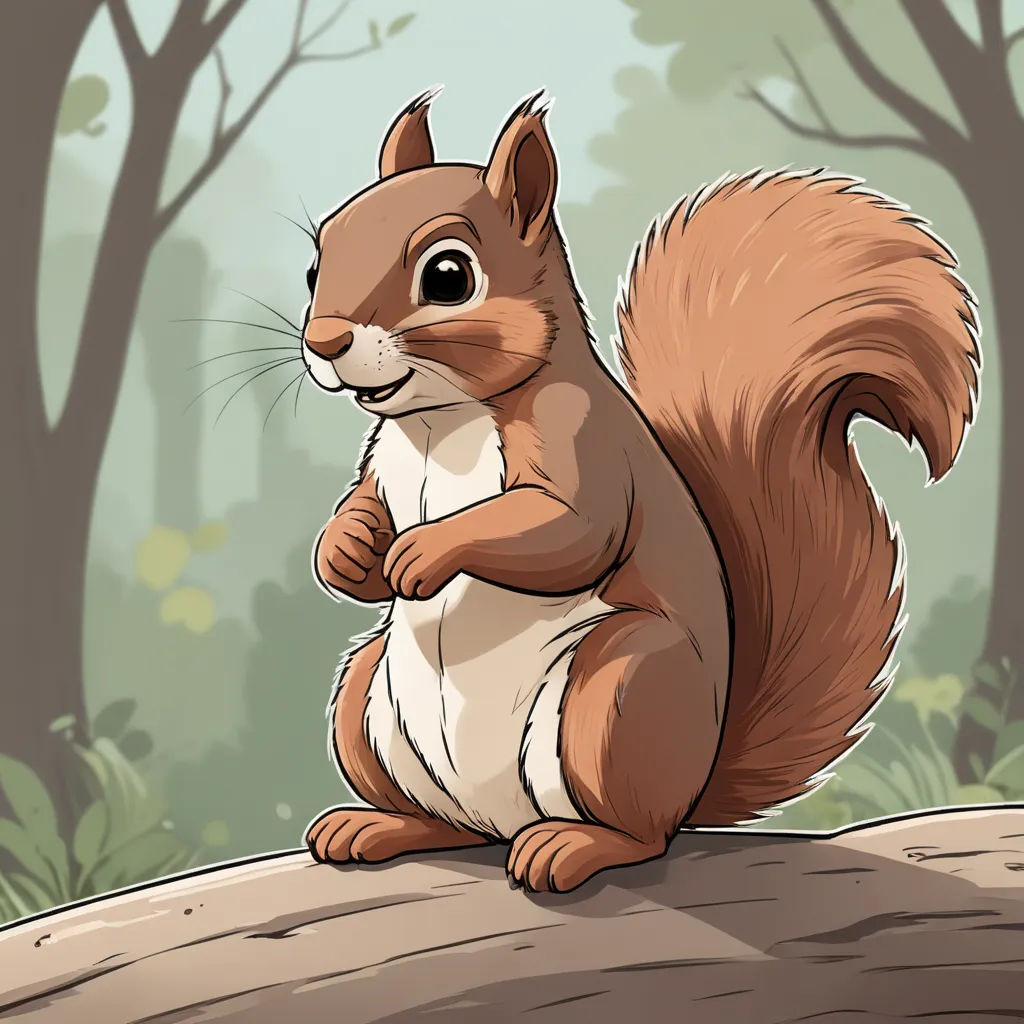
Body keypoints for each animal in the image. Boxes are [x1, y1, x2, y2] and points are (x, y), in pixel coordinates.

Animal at [300, 89, 980, 894]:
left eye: (448, 276)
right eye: (315, 263)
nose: (324, 341)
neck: (442, 421)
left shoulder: (581, 437)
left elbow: (568, 529)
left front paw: (426, 551)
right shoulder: (383, 466)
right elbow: (365, 513)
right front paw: (343, 551)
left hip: (622, 695)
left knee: (643, 832)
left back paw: (572, 846)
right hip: (366, 701)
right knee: (442, 821)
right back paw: (377, 825)